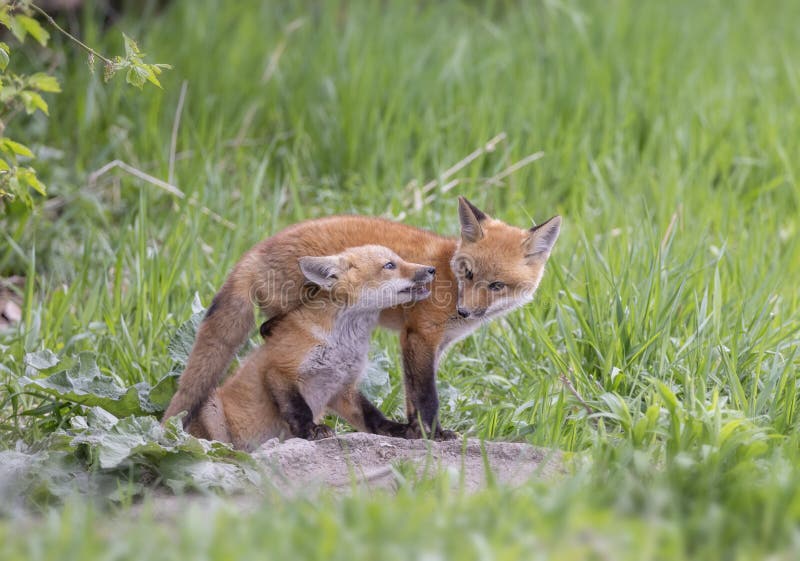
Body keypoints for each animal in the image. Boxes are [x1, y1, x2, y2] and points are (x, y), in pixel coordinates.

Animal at [186, 245, 436, 450]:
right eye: (390, 265)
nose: (432, 269)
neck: (343, 343)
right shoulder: (280, 371)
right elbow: (298, 409)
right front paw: (312, 430)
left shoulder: (342, 388)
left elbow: (372, 416)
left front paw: (398, 430)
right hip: (210, 408)